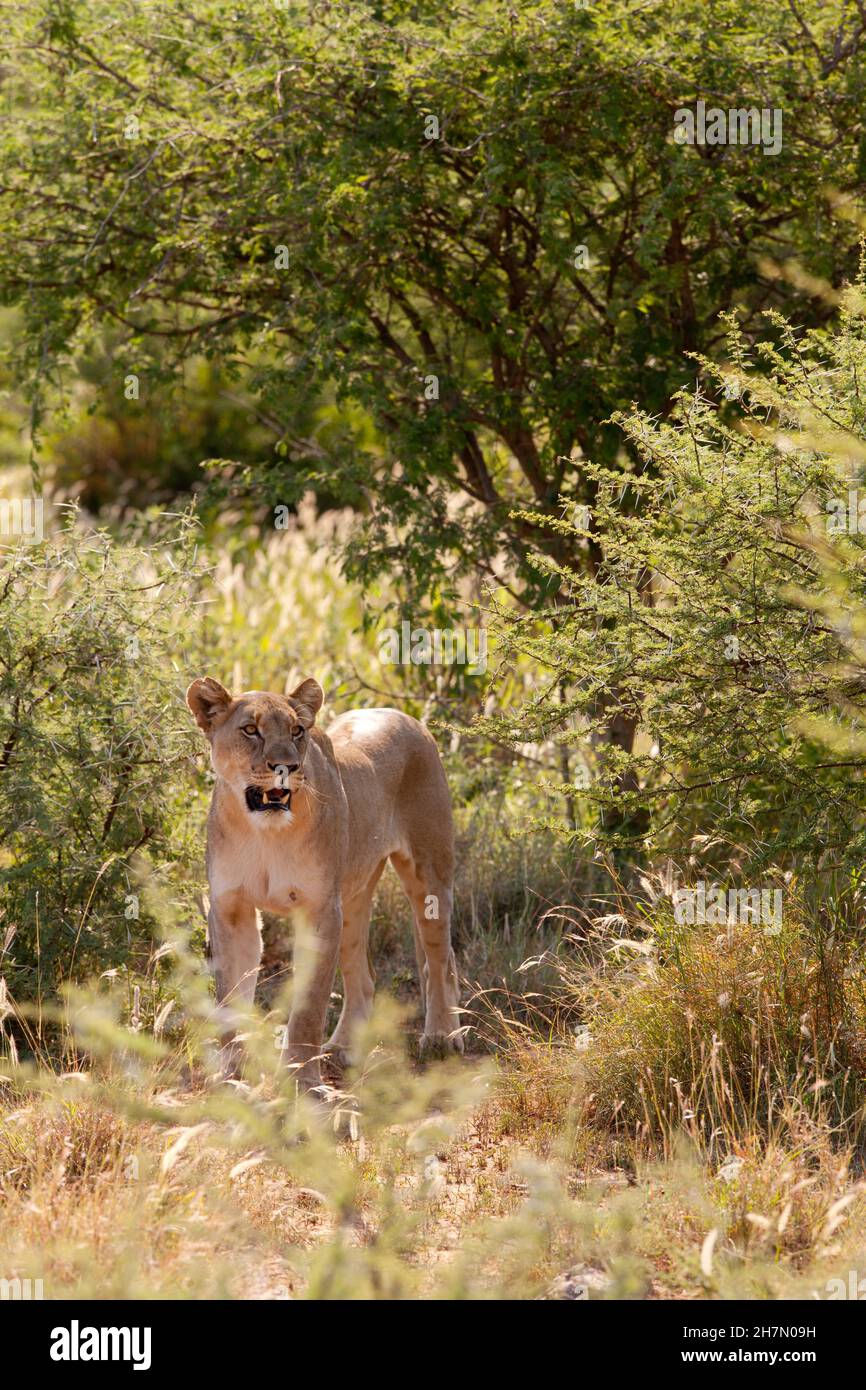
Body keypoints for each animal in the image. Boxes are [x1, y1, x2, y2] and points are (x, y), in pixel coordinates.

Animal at [186, 675, 462, 1091]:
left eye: (297, 731)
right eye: (250, 730)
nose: (286, 766)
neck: (264, 832)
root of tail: (402, 715)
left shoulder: (319, 910)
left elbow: (309, 1006)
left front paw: (302, 1079)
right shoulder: (231, 909)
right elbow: (229, 1000)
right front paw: (233, 1077)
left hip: (428, 874)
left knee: (439, 961)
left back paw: (441, 1038)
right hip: (352, 899)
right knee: (364, 978)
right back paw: (341, 1049)